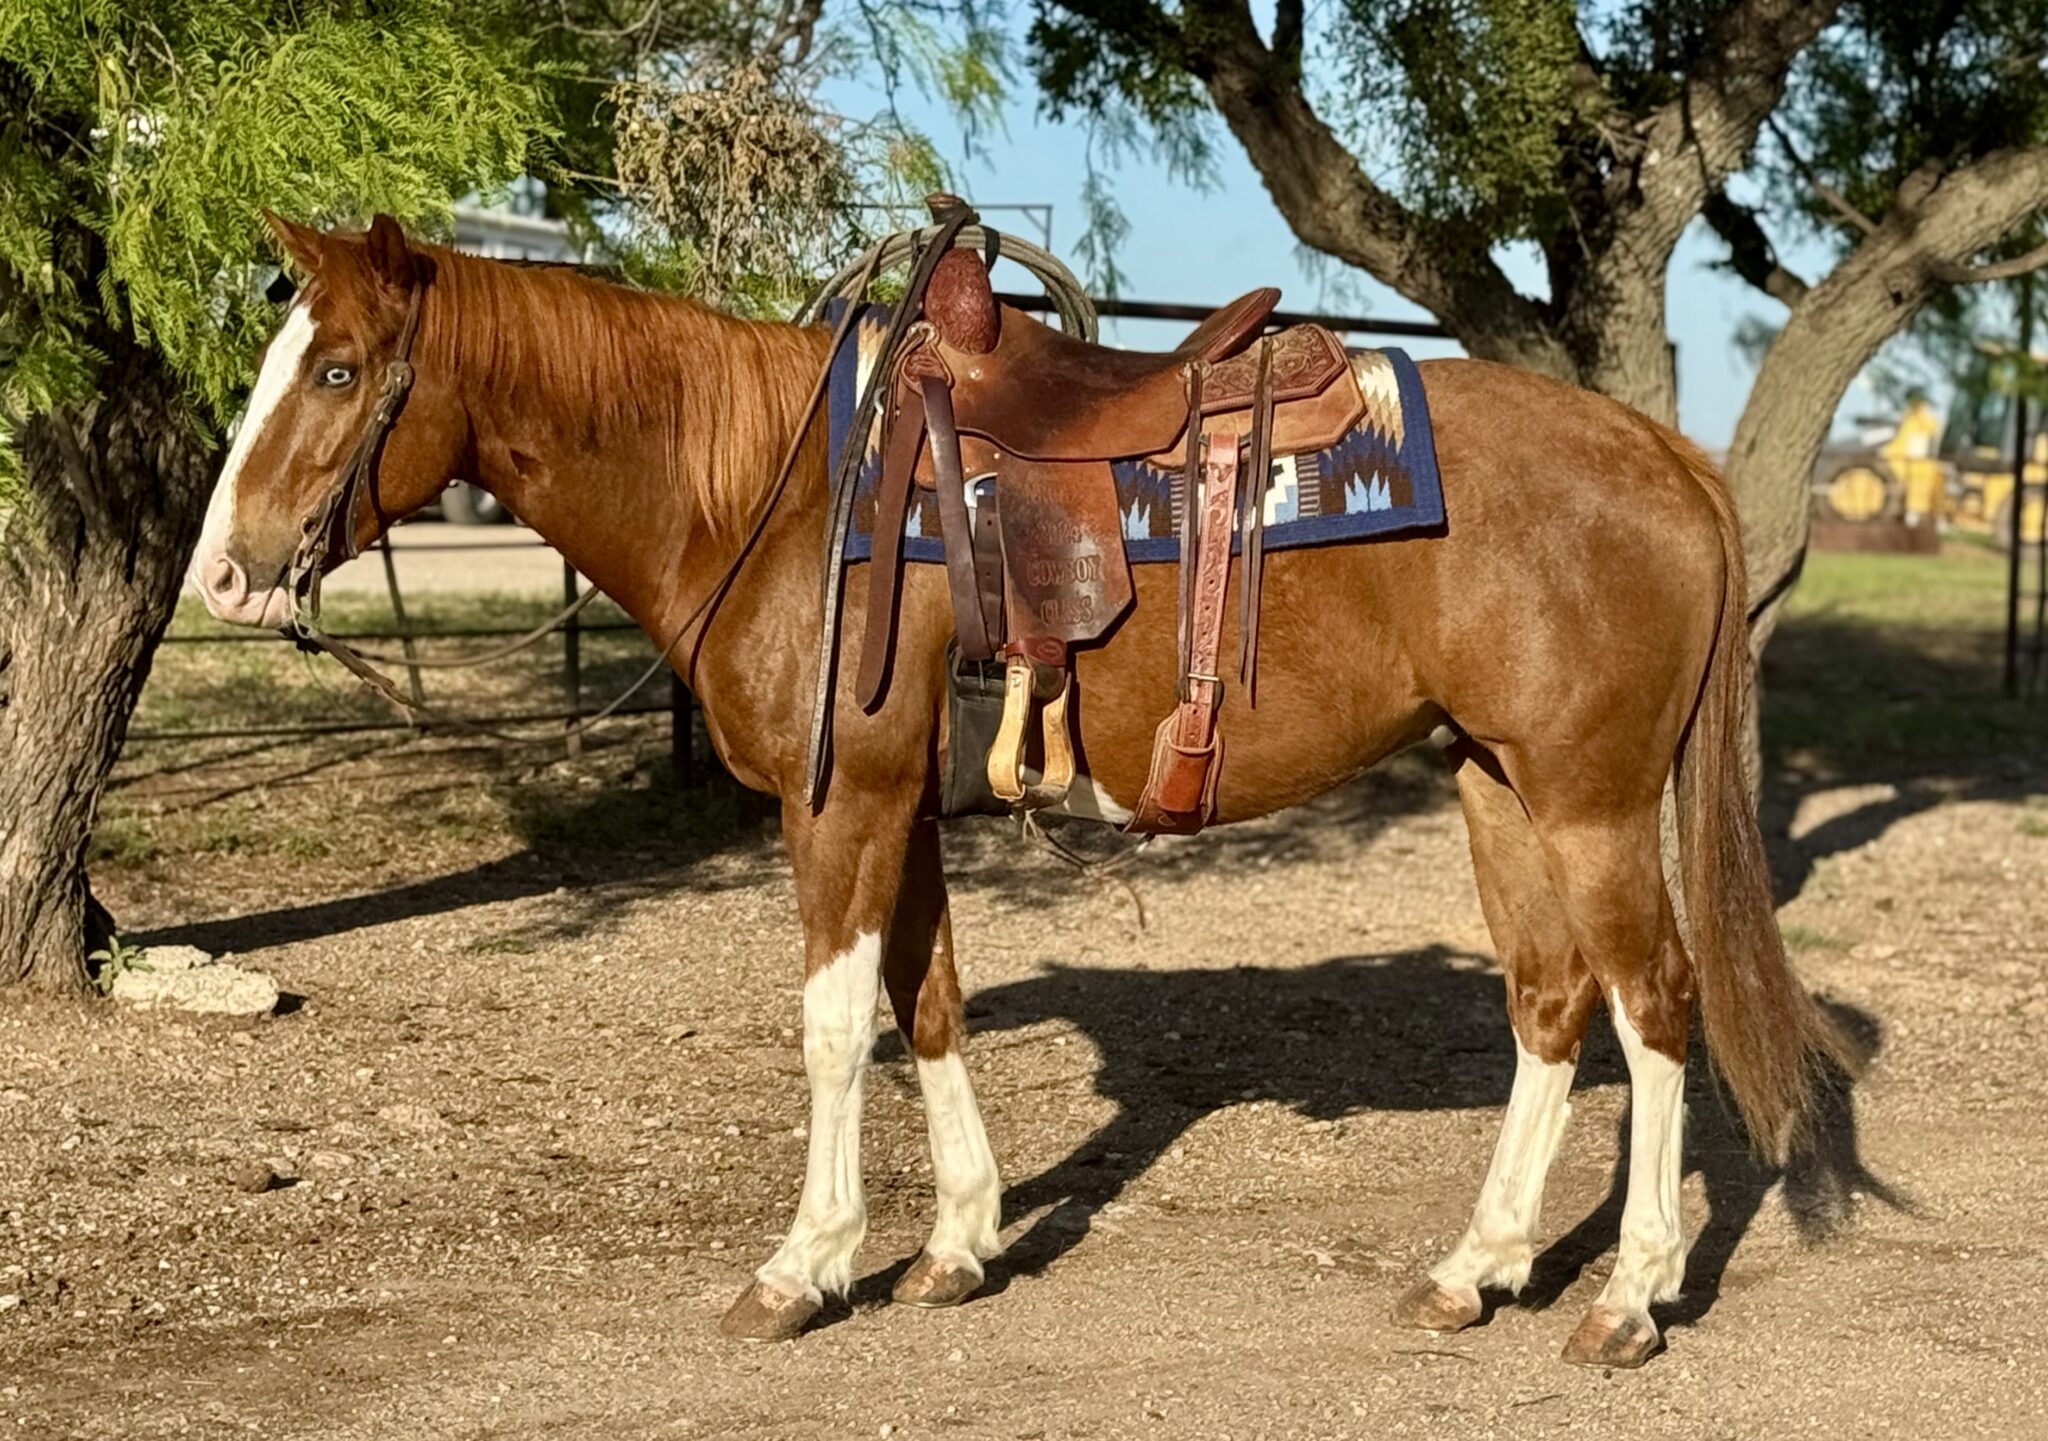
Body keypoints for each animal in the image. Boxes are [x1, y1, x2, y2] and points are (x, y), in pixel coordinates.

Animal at [188, 213, 1852, 1368]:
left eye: (337, 368)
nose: (224, 572)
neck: (785, 497)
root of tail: (1669, 458)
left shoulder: (841, 801)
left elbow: (833, 1026)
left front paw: (806, 1265)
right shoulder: (902, 804)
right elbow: (926, 1004)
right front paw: (960, 1242)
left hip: (1587, 801)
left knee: (1653, 1008)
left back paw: (1628, 1298)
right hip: (1497, 783)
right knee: (1551, 1005)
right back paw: (1479, 1266)